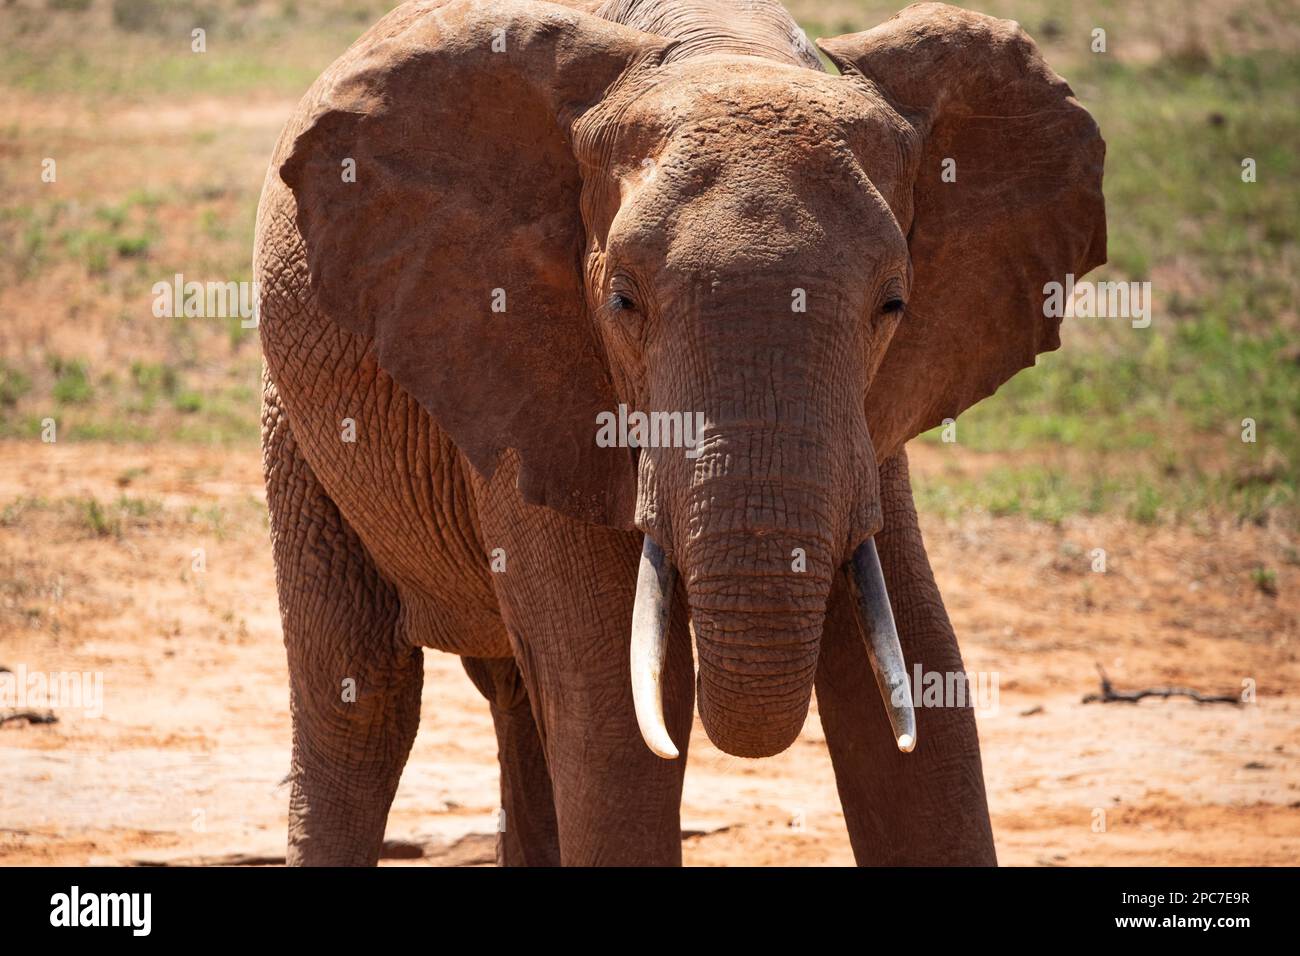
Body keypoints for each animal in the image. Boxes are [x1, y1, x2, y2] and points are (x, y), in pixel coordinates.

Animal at [253, 0, 1105, 866]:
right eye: (623, 303)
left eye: (894, 304)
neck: (725, 46)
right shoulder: (521, 369)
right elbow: (613, 712)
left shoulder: (871, 421)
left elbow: (920, 684)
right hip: (297, 423)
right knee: (360, 702)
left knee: (516, 699)